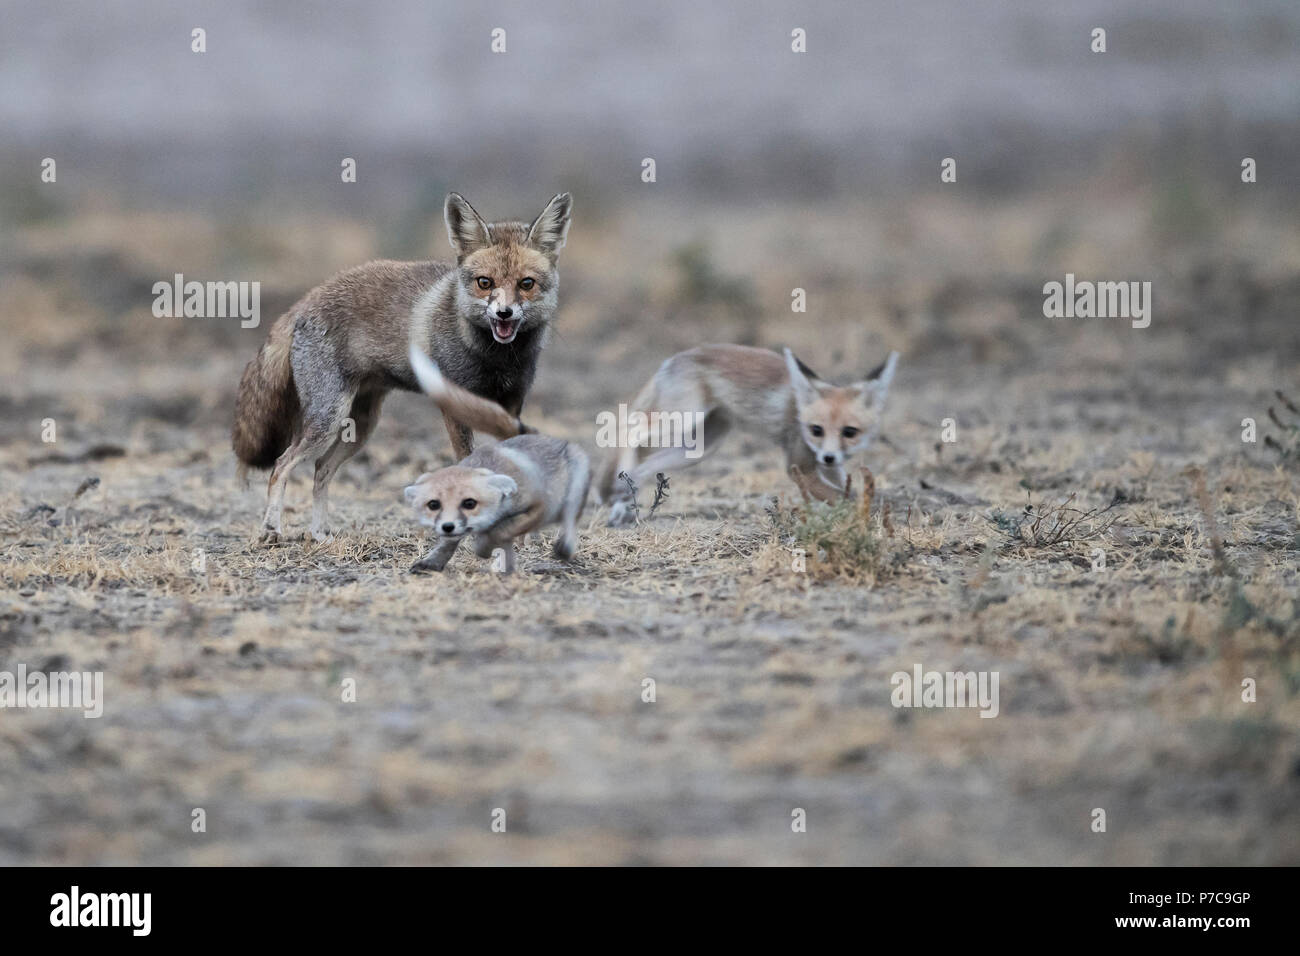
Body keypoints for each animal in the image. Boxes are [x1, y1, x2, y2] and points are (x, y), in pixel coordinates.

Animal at [231, 190, 573, 541]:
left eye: (526, 283)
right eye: (485, 282)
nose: (504, 313)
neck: (494, 359)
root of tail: (304, 300)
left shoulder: (511, 407)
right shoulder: (454, 405)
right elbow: (467, 465)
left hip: (359, 427)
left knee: (320, 471)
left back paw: (320, 534)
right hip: (327, 421)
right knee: (281, 465)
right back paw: (271, 529)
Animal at [404, 343, 590, 573]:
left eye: (469, 503)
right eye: (433, 505)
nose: (448, 526)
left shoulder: (537, 507)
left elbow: (502, 530)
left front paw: (486, 546)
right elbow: (448, 544)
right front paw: (432, 562)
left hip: (574, 487)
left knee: (570, 518)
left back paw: (562, 547)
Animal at [597, 344, 899, 524]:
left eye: (850, 432)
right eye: (816, 430)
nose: (828, 456)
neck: (800, 410)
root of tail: (675, 358)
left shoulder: (829, 467)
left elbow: (846, 487)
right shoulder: (799, 466)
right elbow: (843, 497)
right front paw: (861, 517)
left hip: (698, 448)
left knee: (644, 462)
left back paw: (624, 499)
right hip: (679, 419)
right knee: (628, 430)